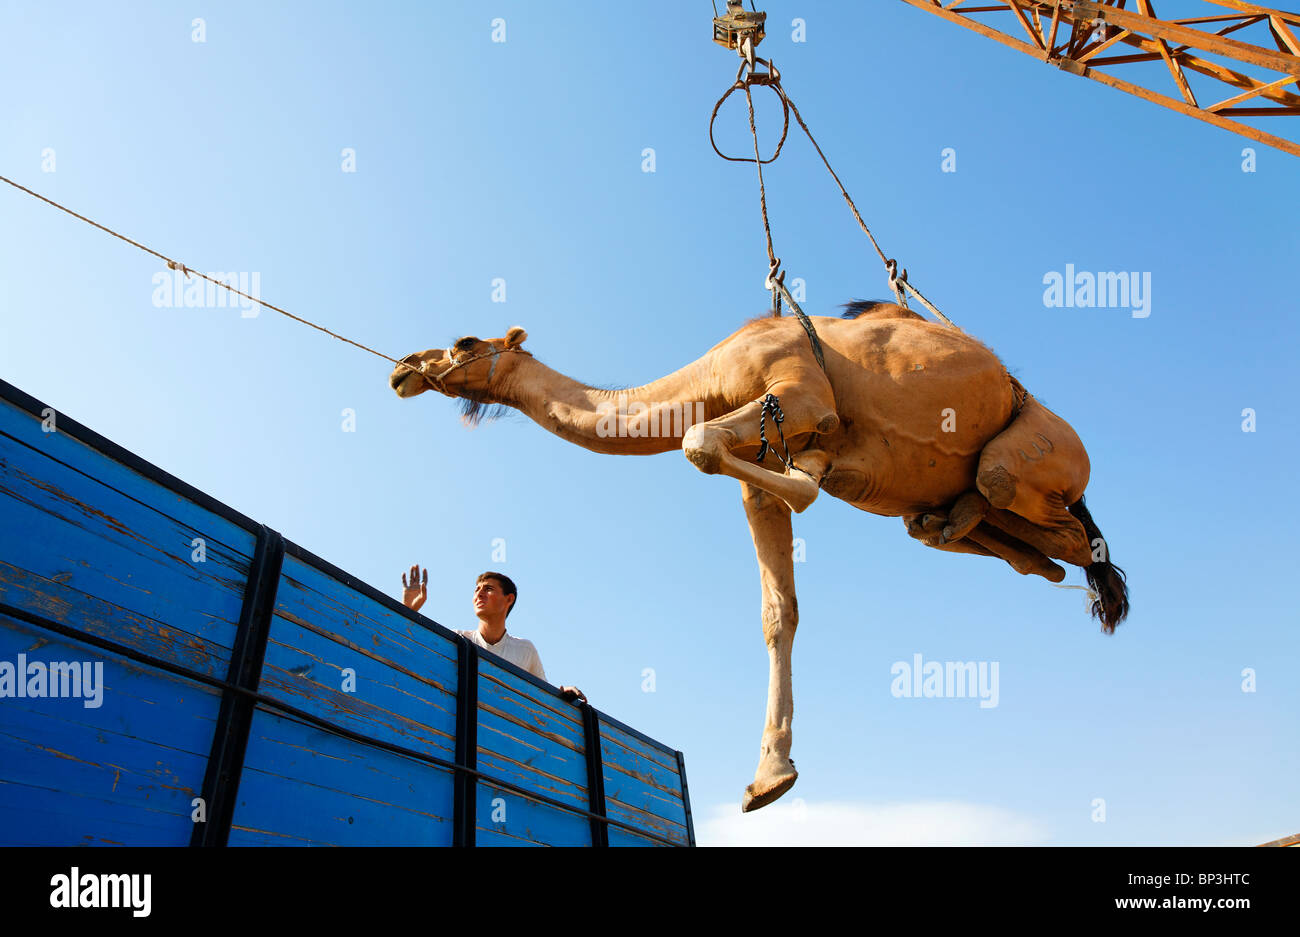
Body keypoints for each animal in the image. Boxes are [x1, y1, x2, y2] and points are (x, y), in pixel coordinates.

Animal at [388, 300, 1129, 811]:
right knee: (986, 535)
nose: (404, 367)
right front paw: (770, 774)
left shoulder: (798, 393)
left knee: (1061, 527)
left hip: (1036, 451)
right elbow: (779, 610)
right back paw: (976, 530)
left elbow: (701, 444)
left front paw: (817, 472)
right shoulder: (755, 473)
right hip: (967, 493)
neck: (714, 375)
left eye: (465, 342)